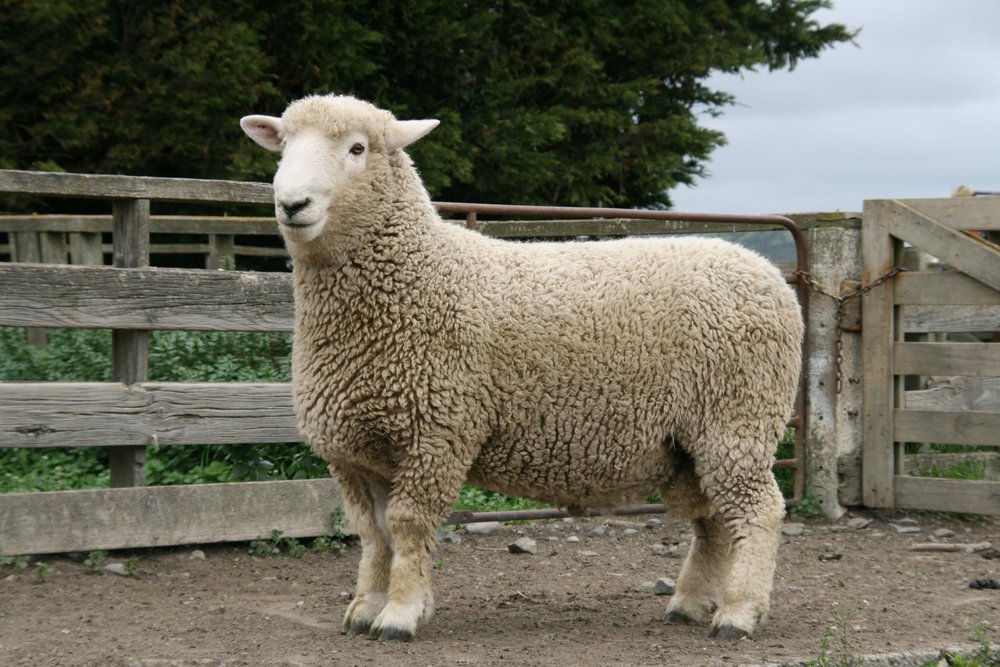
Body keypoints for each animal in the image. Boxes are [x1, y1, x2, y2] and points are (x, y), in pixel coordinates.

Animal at [239, 94, 803, 642]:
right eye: (283, 145)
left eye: (357, 149)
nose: (291, 204)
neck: (419, 275)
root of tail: (770, 274)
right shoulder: (355, 452)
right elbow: (374, 535)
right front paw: (365, 608)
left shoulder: (437, 433)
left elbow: (407, 527)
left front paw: (399, 614)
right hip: (690, 442)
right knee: (713, 522)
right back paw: (688, 605)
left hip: (737, 417)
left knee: (758, 510)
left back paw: (738, 614)